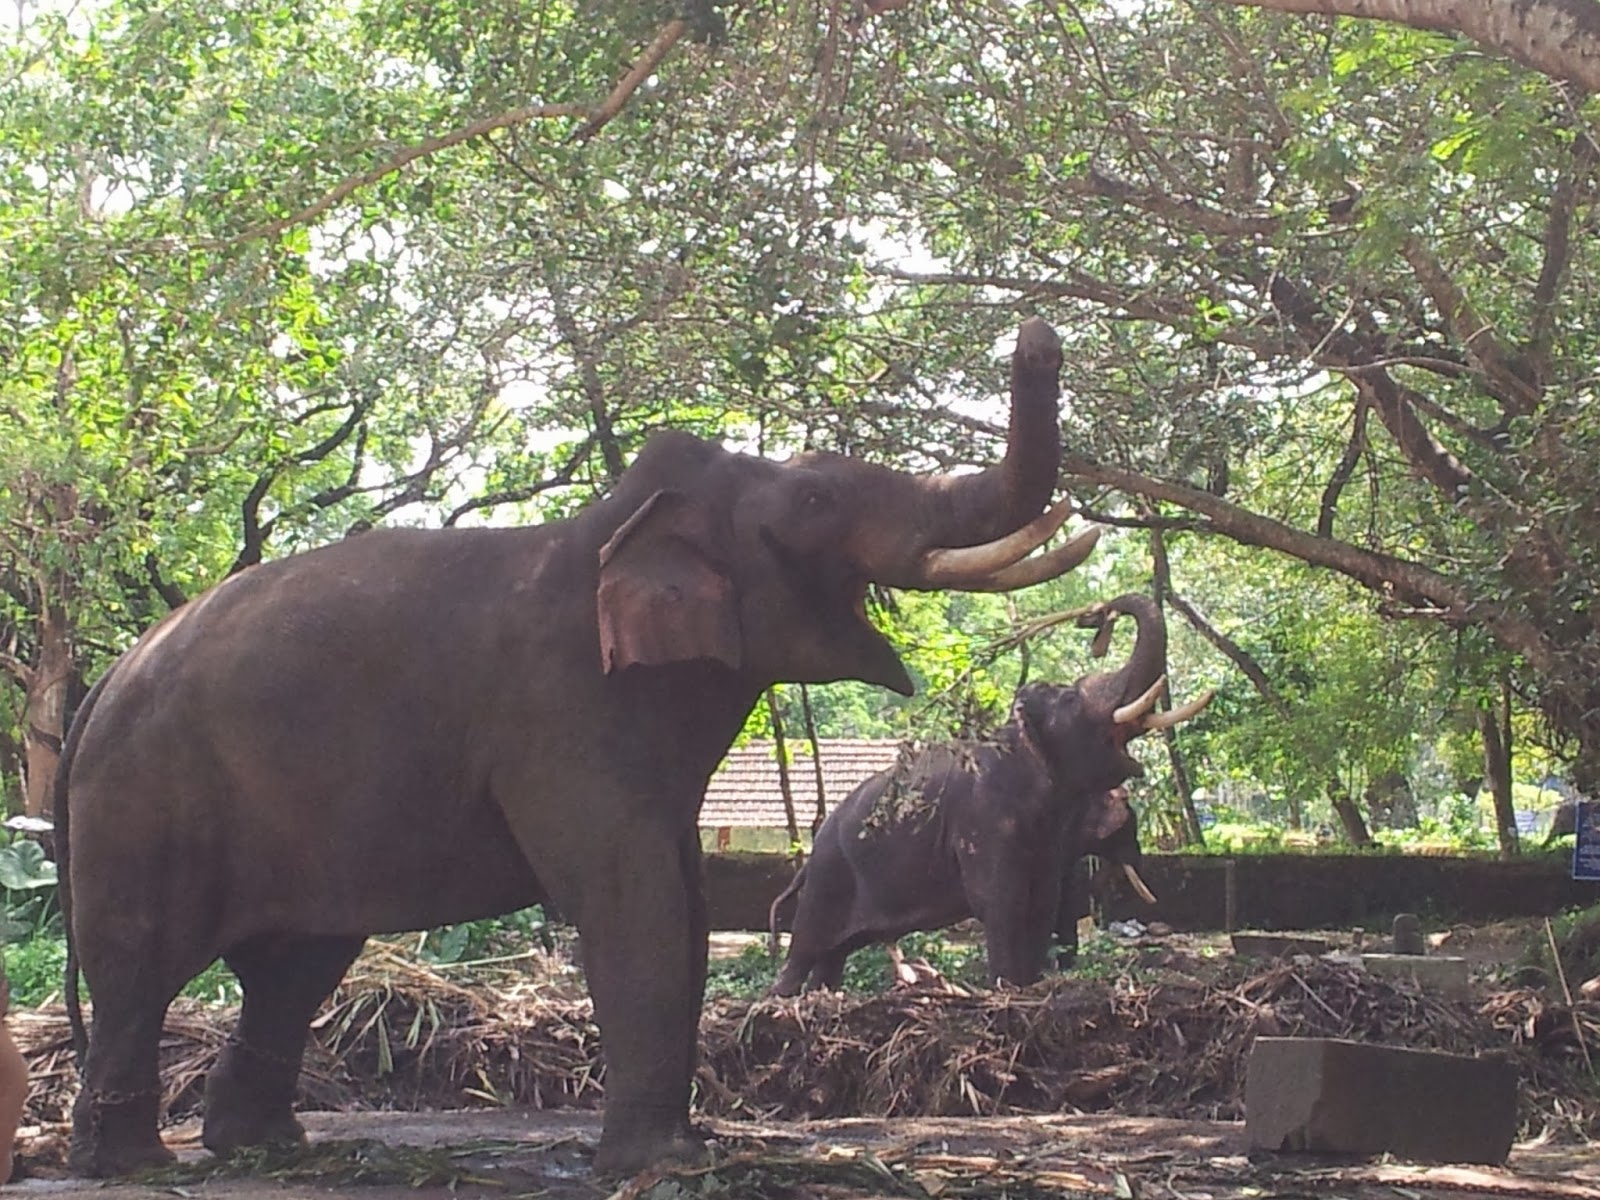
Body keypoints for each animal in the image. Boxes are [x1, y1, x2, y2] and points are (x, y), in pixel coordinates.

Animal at [54, 317, 1099, 1178]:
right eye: (812, 499)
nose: (1038, 333)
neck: (618, 526)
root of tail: (109, 676)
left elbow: (683, 899)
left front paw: (688, 1146)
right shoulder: (558, 710)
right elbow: (632, 895)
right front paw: (666, 1164)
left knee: (294, 964)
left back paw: (267, 1147)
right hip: (145, 797)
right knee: (143, 961)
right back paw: (133, 1164)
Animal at [767, 594, 1209, 995]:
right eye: (1071, 698)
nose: (1097, 615)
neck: (1016, 740)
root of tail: (811, 855)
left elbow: (1042, 902)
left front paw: (1031, 985)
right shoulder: (983, 819)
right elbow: (1001, 902)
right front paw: (1007, 987)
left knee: (833, 956)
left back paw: (823, 996)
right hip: (828, 878)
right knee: (804, 951)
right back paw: (780, 998)